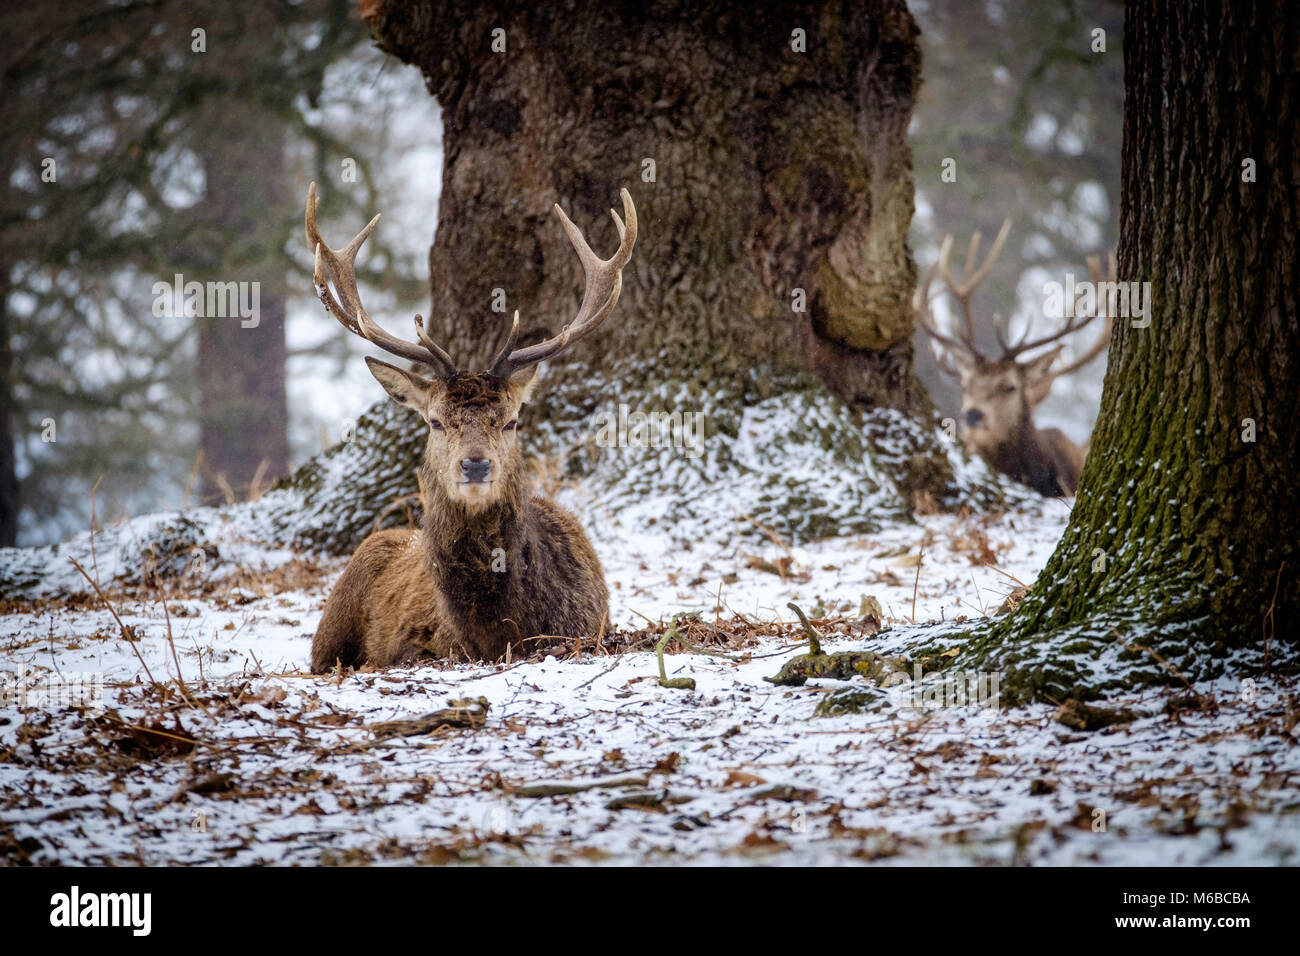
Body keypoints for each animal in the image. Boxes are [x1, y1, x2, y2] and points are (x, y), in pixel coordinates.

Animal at [303, 182, 636, 672]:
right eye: (436, 421)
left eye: (512, 420)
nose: (475, 466)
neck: (498, 629)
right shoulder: (414, 644)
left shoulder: (589, 626)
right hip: (330, 625)